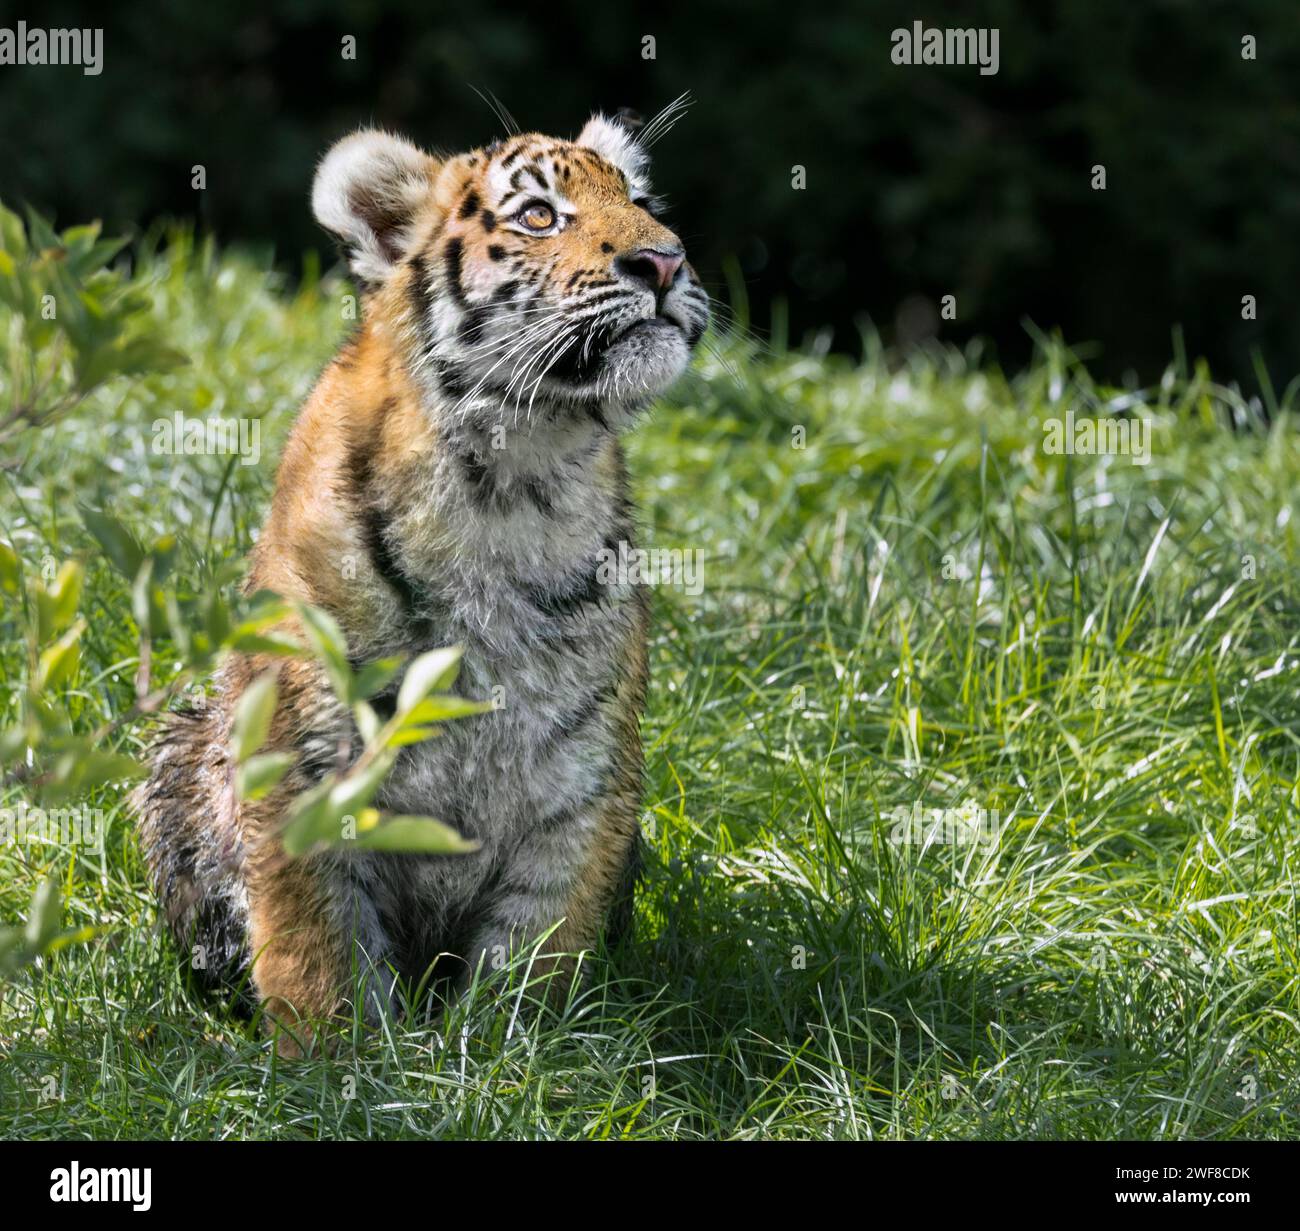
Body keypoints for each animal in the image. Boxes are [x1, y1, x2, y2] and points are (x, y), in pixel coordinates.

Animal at [131, 111, 710, 1054]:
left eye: (641, 203)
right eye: (539, 215)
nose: (664, 261)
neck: (517, 476)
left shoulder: (582, 784)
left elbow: (536, 946)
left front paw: (514, 1057)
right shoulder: (300, 765)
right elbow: (316, 951)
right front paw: (335, 1062)